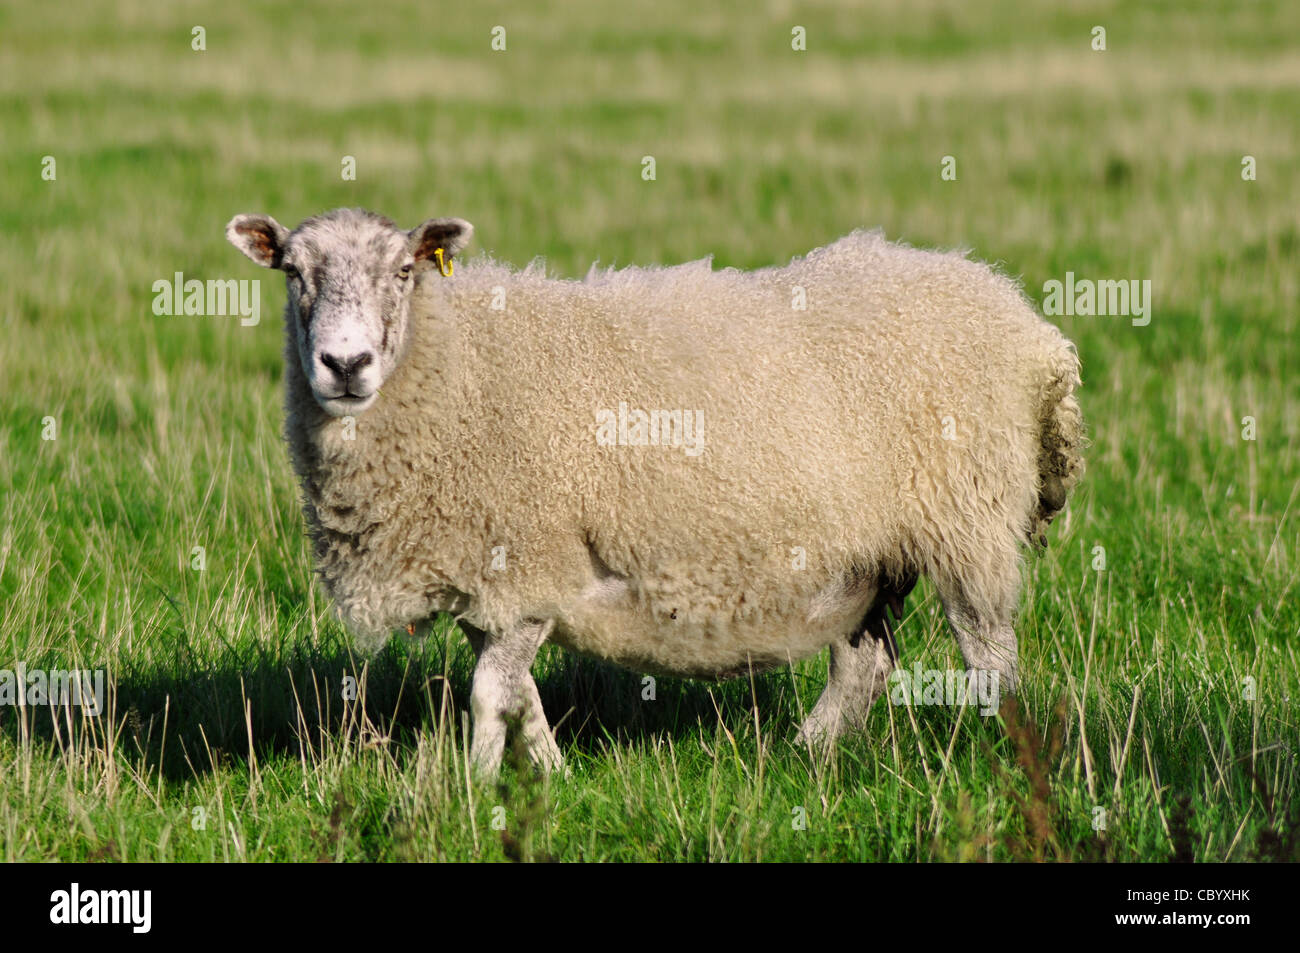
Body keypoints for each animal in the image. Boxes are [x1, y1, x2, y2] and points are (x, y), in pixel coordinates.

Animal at [226, 207, 1084, 778]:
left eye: (403, 272)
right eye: (294, 274)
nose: (345, 364)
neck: (456, 366)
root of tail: (1033, 330)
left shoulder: (527, 559)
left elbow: (489, 694)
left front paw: (477, 792)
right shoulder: (497, 578)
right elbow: (516, 693)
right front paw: (550, 776)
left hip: (966, 519)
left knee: (988, 651)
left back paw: (1004, 754)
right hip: (866, 554)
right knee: (864, 663)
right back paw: (805, 754)